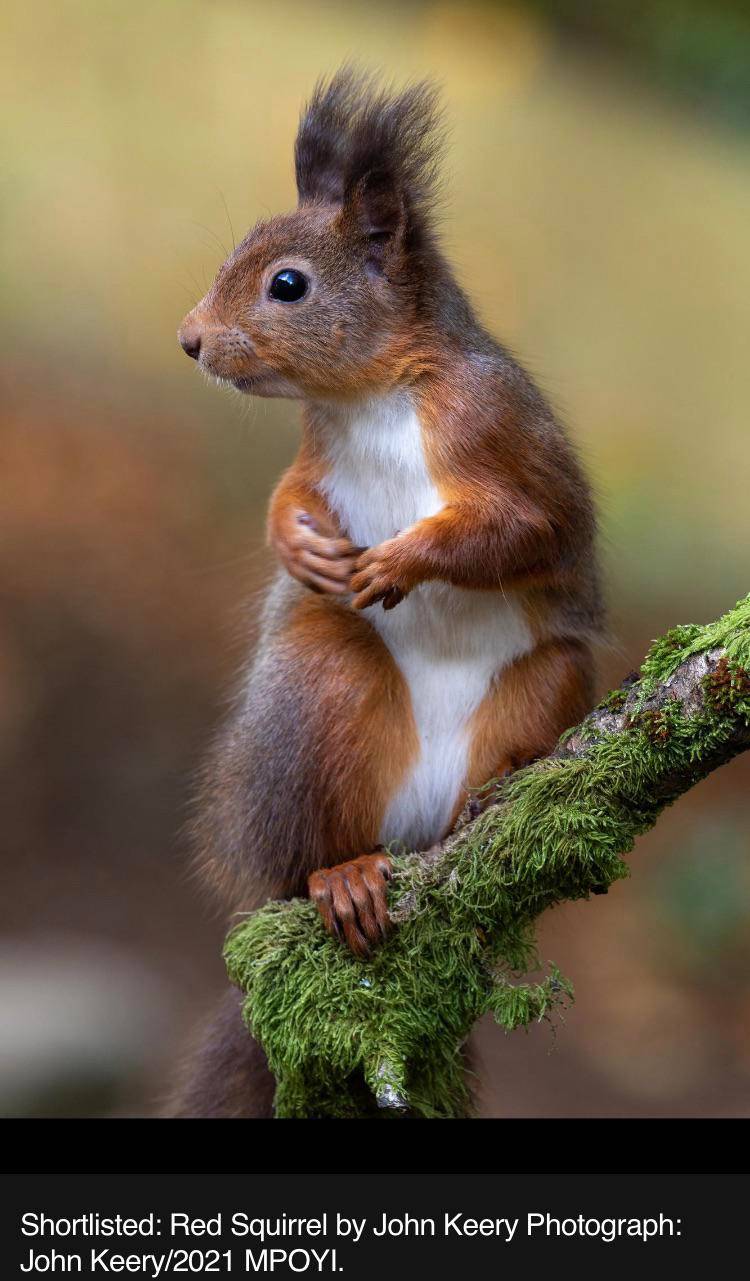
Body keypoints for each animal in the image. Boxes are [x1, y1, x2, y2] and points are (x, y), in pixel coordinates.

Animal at [169, 68, 603, 1117]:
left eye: (288, 283)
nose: (190, 340)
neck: (369, 395)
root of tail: (410, 832)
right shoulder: (315, 451)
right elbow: (288, 495)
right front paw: (302, 545)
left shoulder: (502, 434)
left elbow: (530, 530)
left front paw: (401, 561)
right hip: (319, 692)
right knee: (309, 854)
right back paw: (343, 878)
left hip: (549, 678)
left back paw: (483, 806)